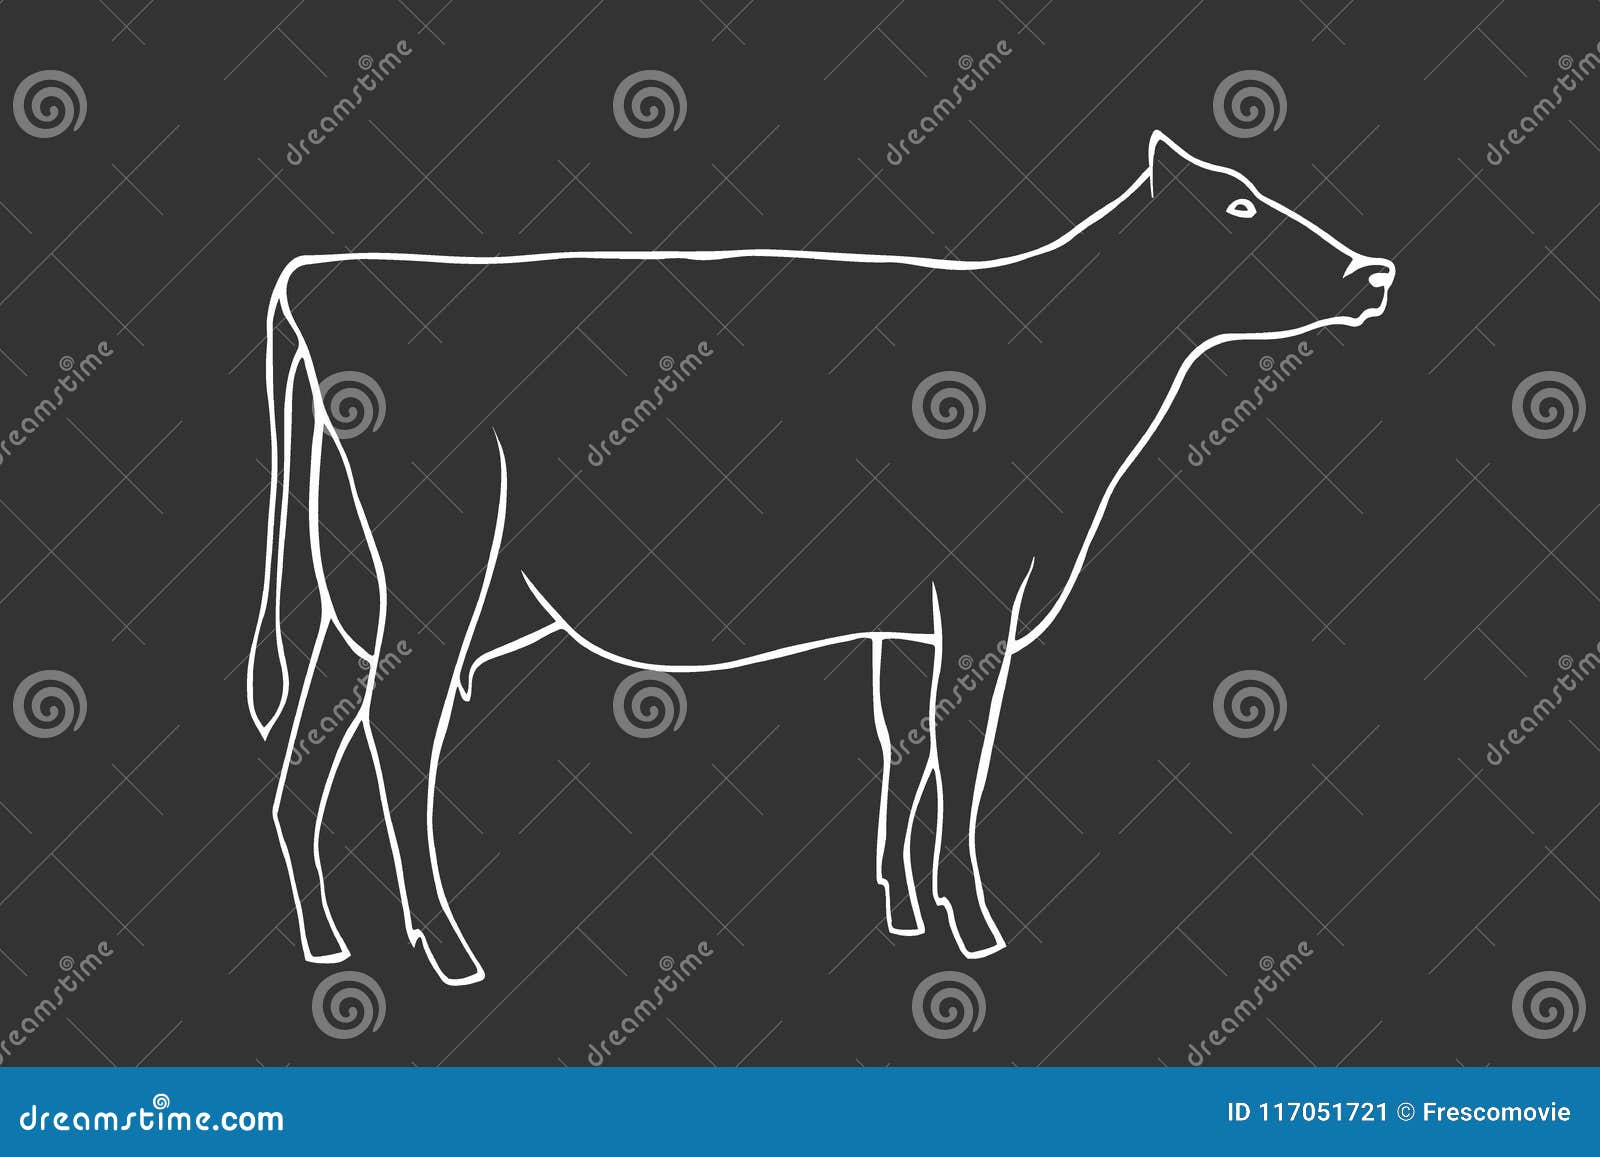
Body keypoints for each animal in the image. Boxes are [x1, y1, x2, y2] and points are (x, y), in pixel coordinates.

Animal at [248, 131, 1395, 985]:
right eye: (1238, 206)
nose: (1373, 270)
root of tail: (319, 276)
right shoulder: (981, 592)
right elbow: (963, 758)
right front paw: (976, 928)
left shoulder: (906, 616)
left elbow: (904, 745)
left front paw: (903, 911)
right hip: (436, 576)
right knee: (399, 739)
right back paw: (446, 950)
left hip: (357, 599)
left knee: (313, 739)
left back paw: (325, 940)